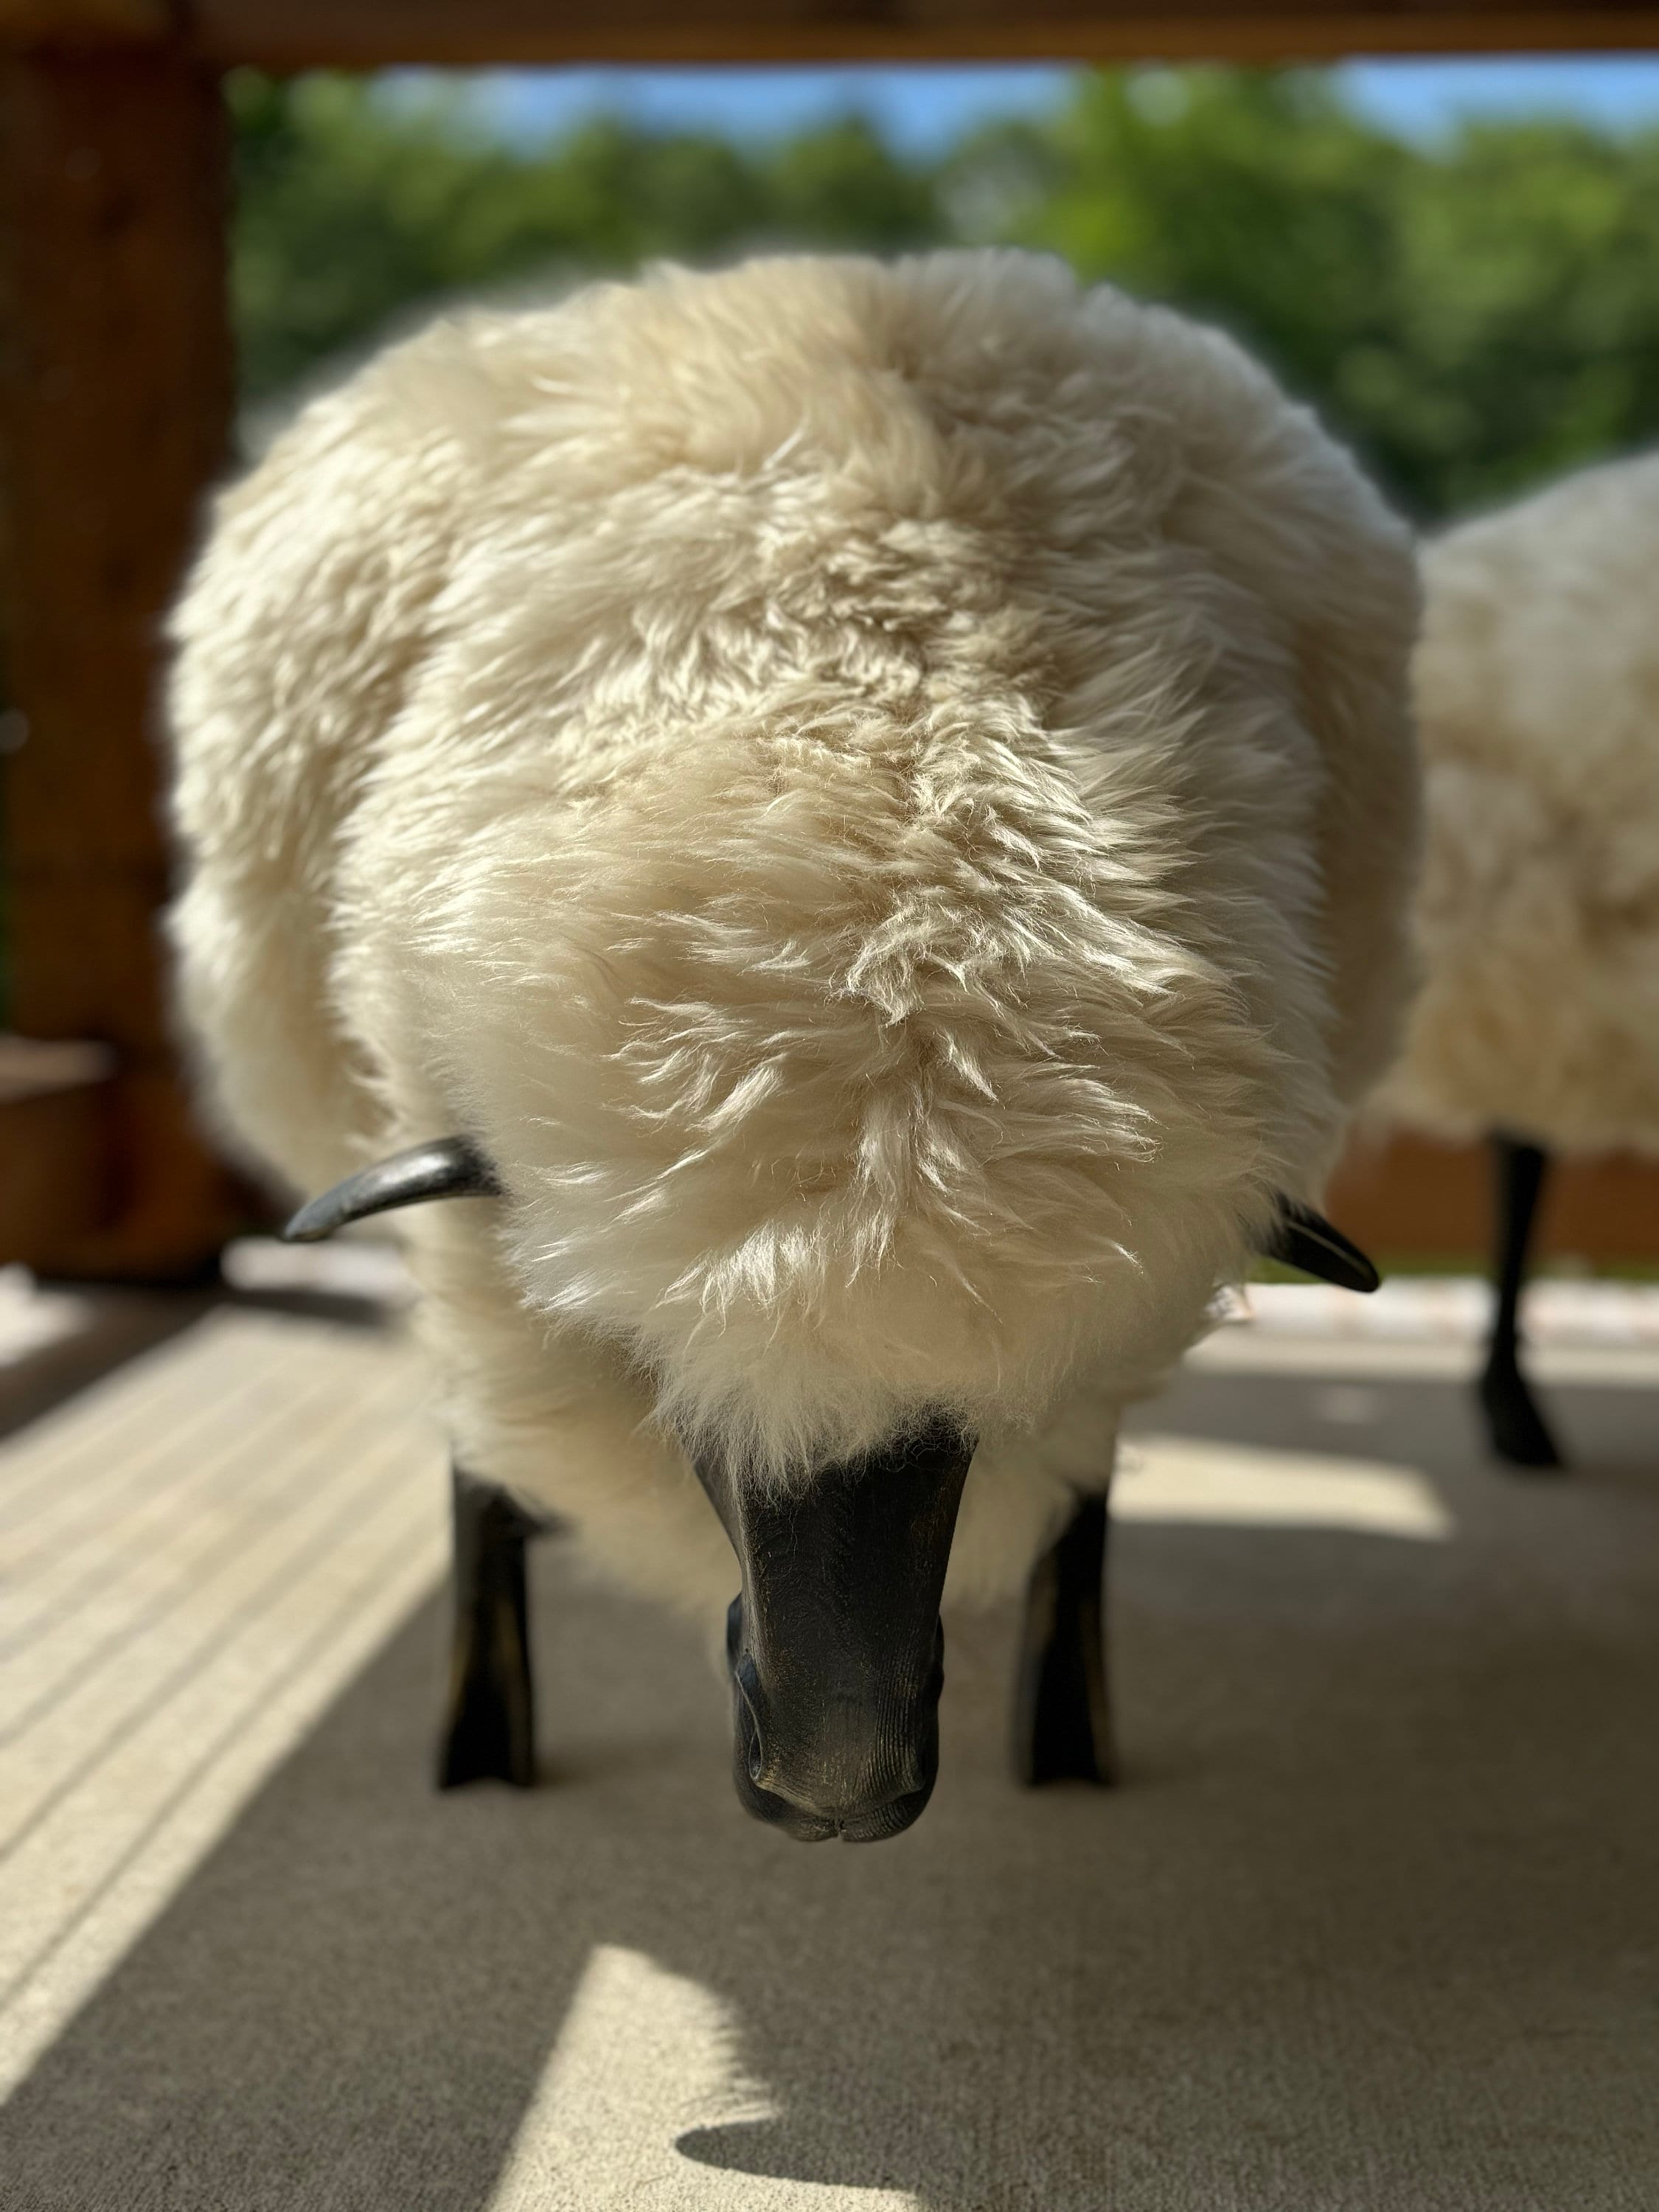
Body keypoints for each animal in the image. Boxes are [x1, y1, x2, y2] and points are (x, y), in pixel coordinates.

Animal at [166, 250, 1419, 1841]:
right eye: (655, 1363)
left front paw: (1069, 1731)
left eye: (973, 1416)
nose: (839, 1787)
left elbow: (1082, 1503)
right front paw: (480, 1740)